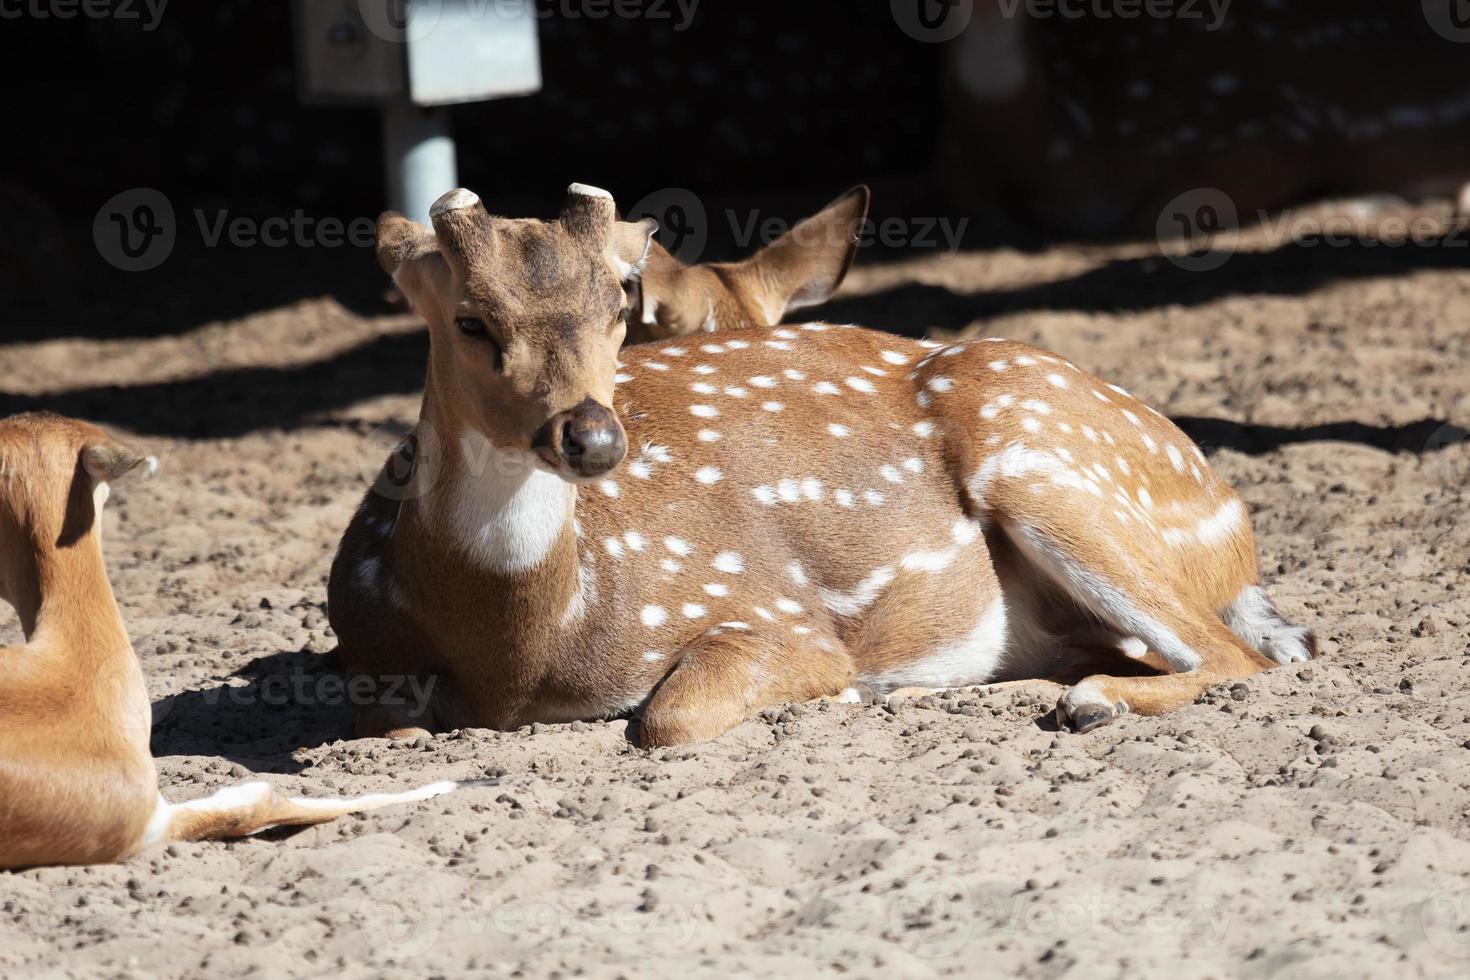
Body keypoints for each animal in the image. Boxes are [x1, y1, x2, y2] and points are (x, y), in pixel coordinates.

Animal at [327, 183, 1314, 747]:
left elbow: (665, 719)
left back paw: (1088, 703)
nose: (594, 438)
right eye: (468, 318)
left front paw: (832, 696)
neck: (520, 650)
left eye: (617, 302)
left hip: (1042, 460)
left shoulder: (770, 613)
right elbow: (388, 723)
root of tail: (1233, 519)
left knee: (1238, 655)